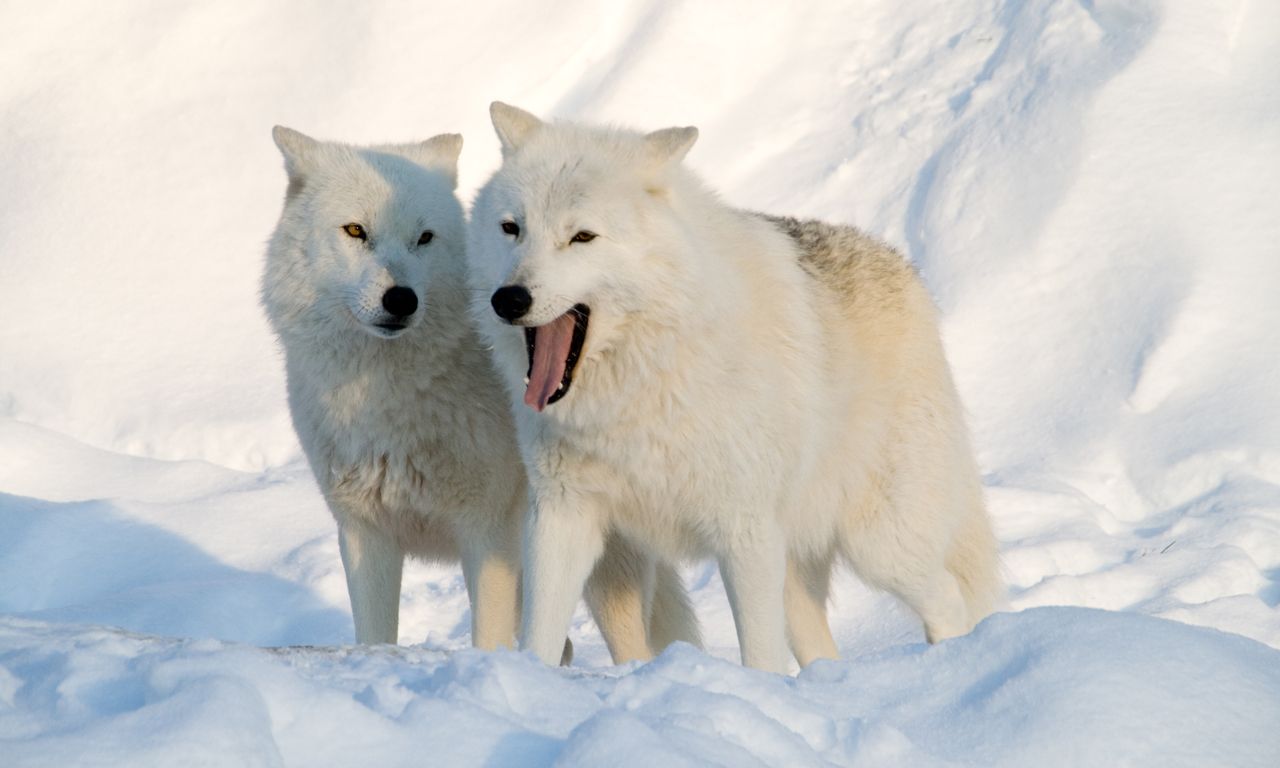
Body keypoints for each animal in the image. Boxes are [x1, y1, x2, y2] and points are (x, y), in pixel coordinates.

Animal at [262, 127, 699, 660]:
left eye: (424, 237)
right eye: (355, 231)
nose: (400, 299)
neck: (390, 398)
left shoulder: (486, 534)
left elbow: (487, 640)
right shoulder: (365, 534)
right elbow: (376, 638)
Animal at [466, 103, 1003, 673]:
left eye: (582, 237)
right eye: (512, 229)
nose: (509, 299)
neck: (643, 384)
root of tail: (904, 268)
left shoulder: (744, 529)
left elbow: (760, 657)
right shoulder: (561, 517)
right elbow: (539, 637)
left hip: (880, 545)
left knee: (949, 598)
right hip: (798, 573)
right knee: (823, 646)